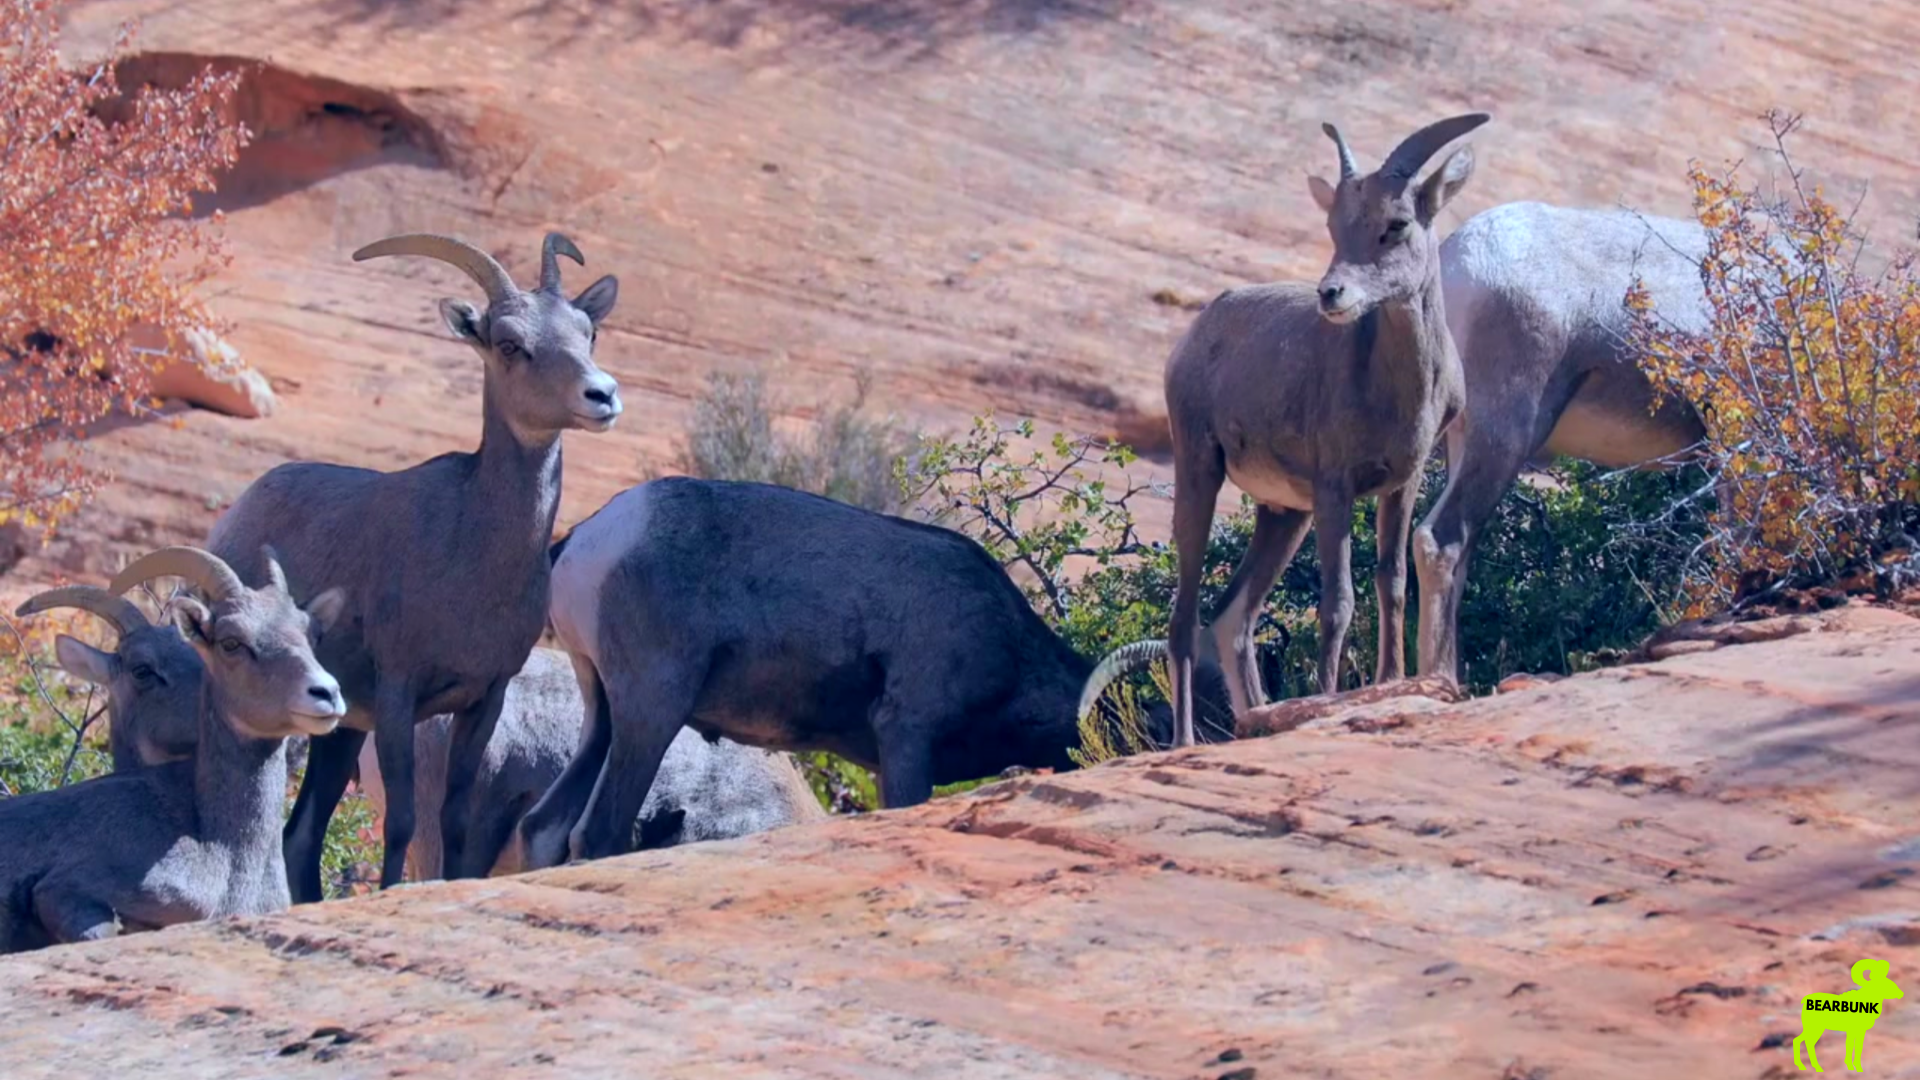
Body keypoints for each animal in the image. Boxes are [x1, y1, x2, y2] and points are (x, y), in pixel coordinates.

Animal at [204, 231, 623, 902]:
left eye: (588, 332)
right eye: (510, 344)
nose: (602, 396)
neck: (470, 555)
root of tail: (241, 509)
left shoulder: (484, 698)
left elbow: (454, 819)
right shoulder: (399, 696)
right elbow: (402, 822)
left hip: (339, 727)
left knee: (301, 836)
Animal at [516, 476, 1233, 870]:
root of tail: (587, 540)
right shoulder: (907, 738)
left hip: (605, 714)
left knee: (544, 829)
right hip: (652, 711)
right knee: (598, 834)